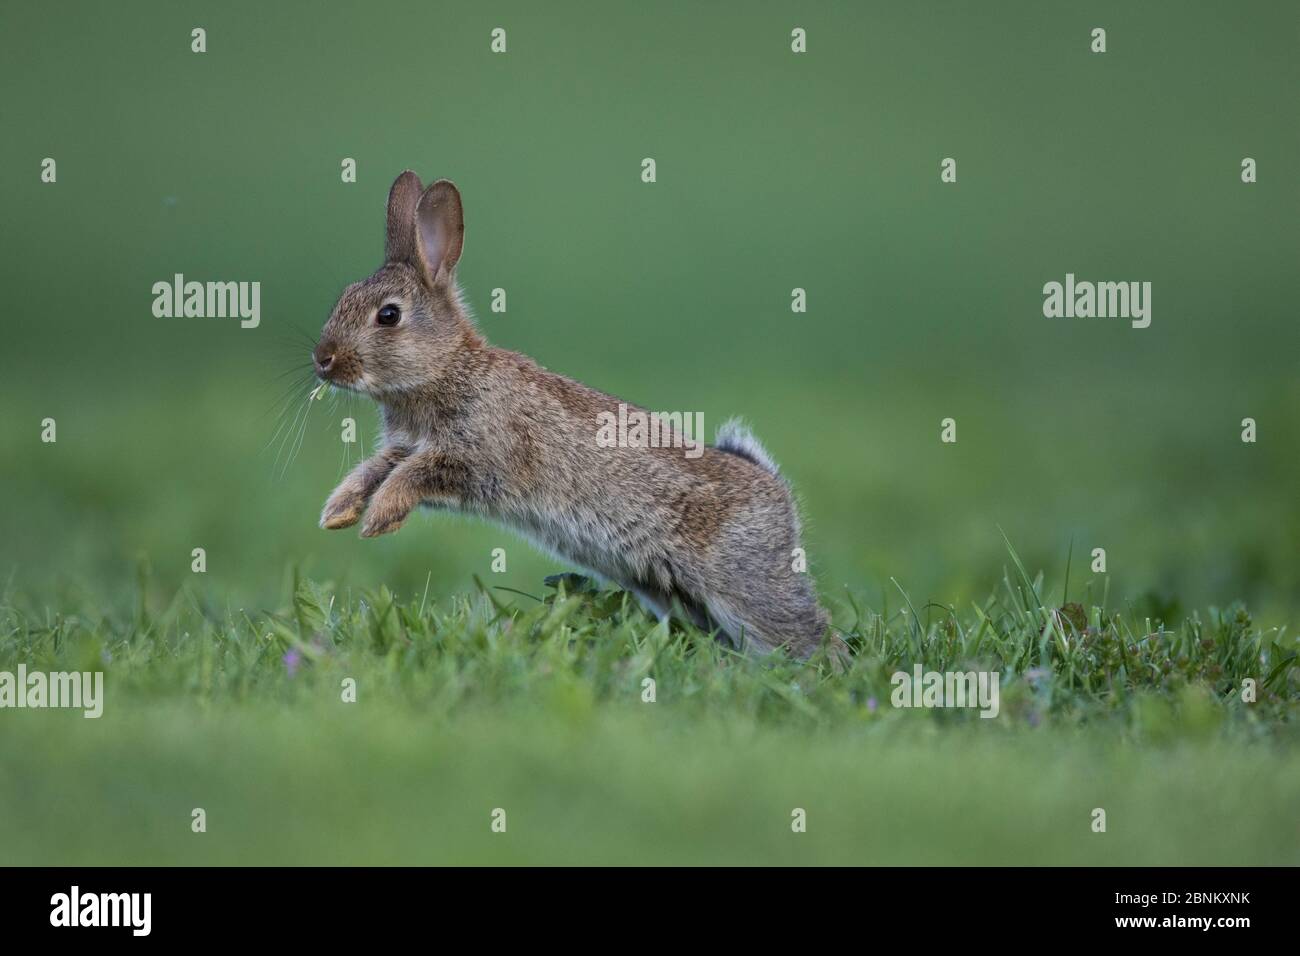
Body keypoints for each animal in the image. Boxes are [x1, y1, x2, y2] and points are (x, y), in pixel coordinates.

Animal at [312, 170, 838, 662]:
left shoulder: (474, 457)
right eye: (344, 297)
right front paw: (339, 513)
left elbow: (412, 477)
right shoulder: (405, 447)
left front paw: (377, 519)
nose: (323, 360)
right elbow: (374, 470)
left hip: (745, 587)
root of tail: (779, 497)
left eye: (388, 316)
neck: (446, 367)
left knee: (805, 632)